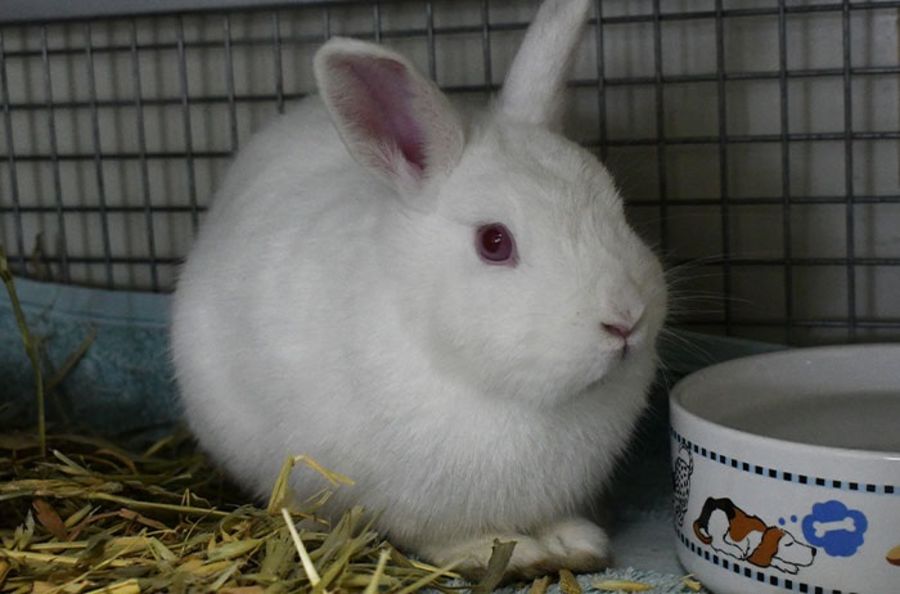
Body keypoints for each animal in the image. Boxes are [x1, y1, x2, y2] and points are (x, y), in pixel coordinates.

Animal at [171, 0, 667, 580]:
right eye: (494, 241)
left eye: (617, 208)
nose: (626, 319)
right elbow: (447, 536)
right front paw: (500, 554)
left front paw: (574, 544)